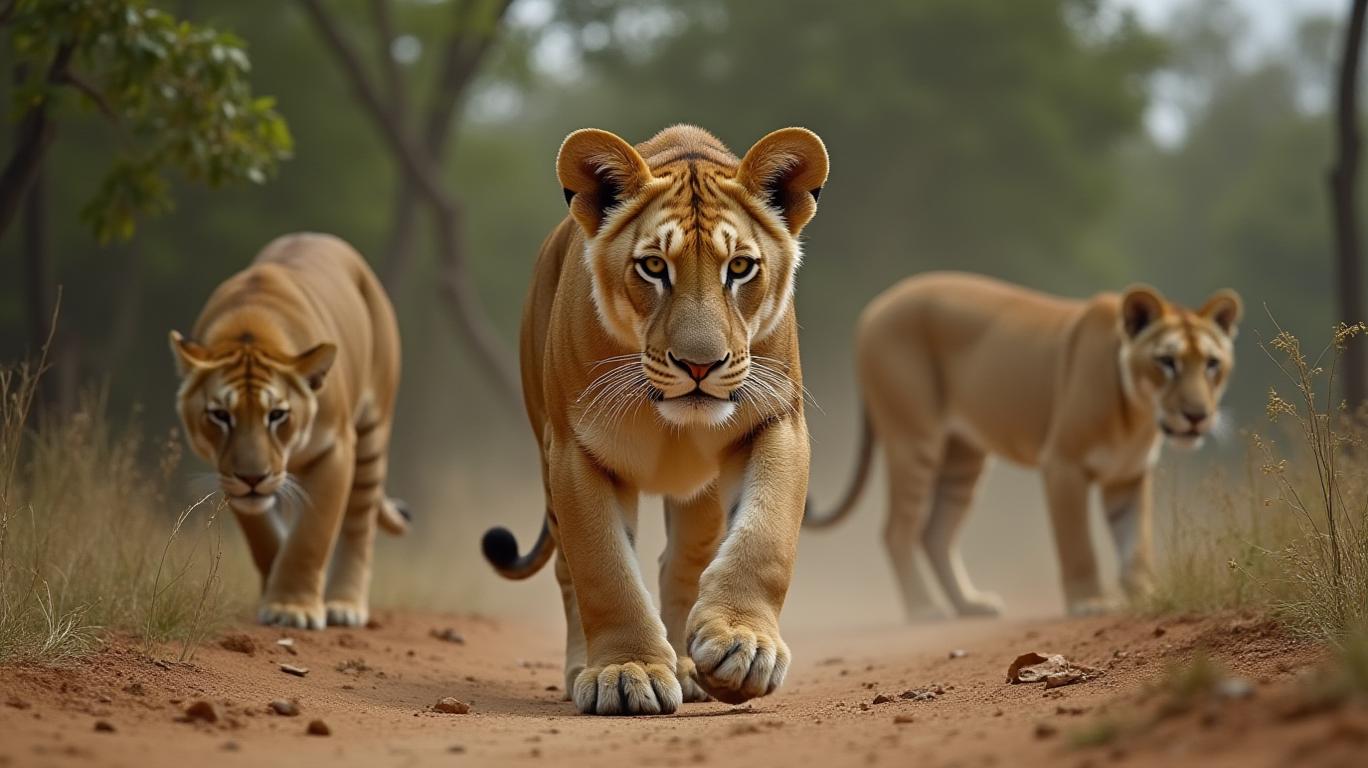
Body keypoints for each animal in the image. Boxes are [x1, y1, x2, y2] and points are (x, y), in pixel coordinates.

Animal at [170, 232, 408, 630]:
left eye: (277, 415)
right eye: (221, 415)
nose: (253, 478)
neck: (249, 332)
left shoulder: (336, 449)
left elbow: (311, 536)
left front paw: (292, 608)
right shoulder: (226, 471)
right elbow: (264, 537)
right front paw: (276, 593)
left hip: (372, 432)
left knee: (359, 522)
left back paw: (345, 605)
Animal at [481, 125, 829, 716]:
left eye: (740, 268)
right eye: (653, 267)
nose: (699, 365)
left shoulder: (777, 420)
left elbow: (765, 536)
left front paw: (743, 648)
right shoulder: (575, 451)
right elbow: (604, 569)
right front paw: (626, 673)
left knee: (683, 559)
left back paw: (691, 666)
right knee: (568, 571)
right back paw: (584, 669)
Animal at [806, 272, 1241, 619]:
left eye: (1212, 364)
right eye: (1166, 362)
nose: (1197, 415)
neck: (1137, 416)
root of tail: (876, 306)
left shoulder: (1128, 477)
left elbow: (1136, 546)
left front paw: (1148, 596)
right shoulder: (1063, 465)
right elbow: (1078, 544)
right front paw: (1089, 602)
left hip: (963, 458)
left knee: (935, 533)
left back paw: (970, 604)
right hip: (913, 440)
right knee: (897, 530)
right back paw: (924, 609)